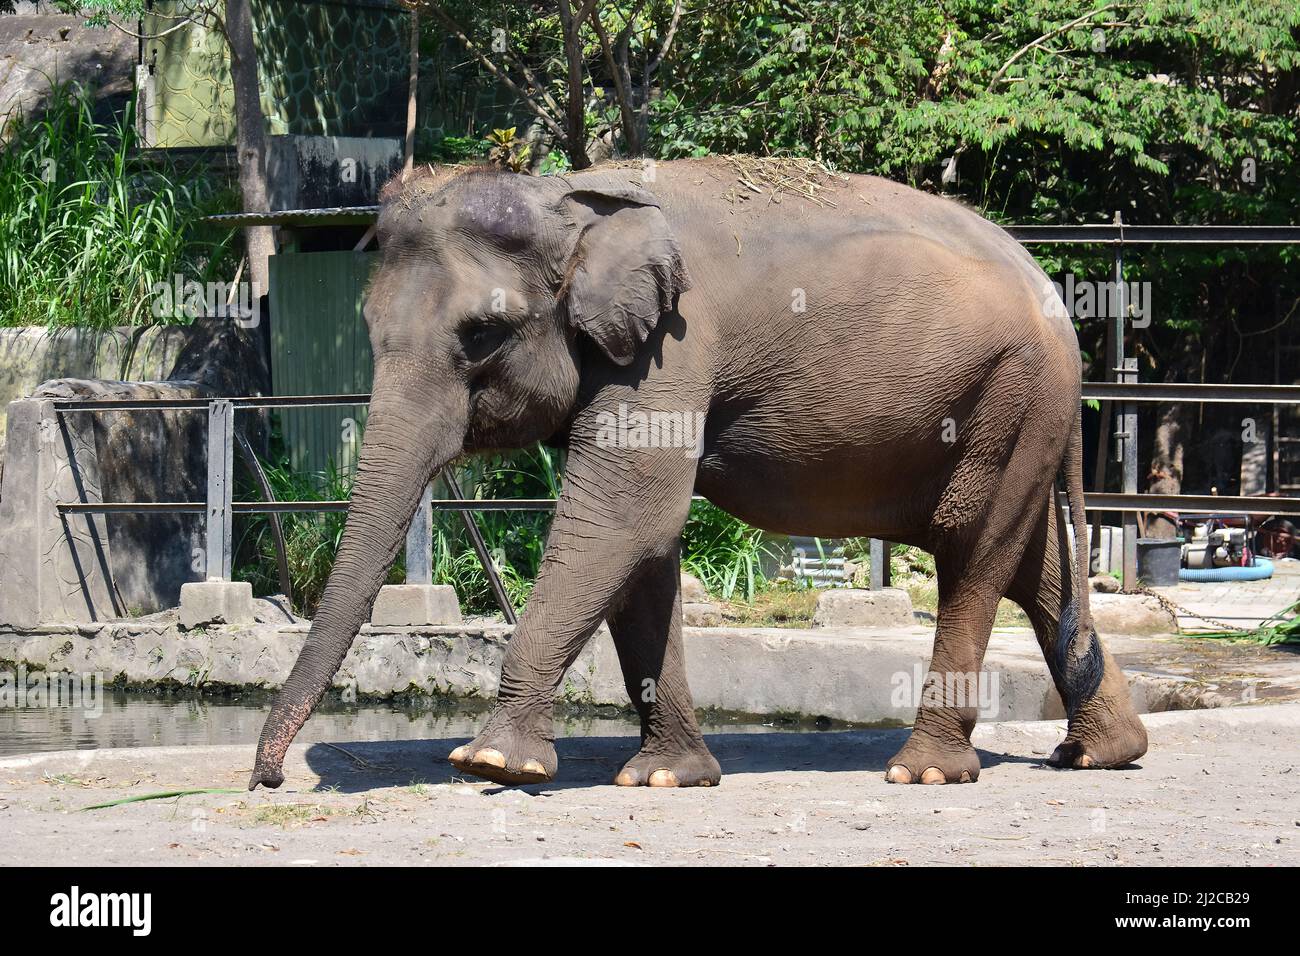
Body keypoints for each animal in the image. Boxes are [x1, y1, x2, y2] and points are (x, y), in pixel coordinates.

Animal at [248, 156, 1148, 791]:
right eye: (368, 327)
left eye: (481, 334)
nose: (269, 776)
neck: (570, 198)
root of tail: (1057, 296)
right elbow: (643, 547)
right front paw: (665, 778)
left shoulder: (672, 344)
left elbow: (623, 519)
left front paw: (492, 764)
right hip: (1019, 409)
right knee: (1032, 561)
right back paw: (1102, 753)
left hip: (1013, 393)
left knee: (972, 549)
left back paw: (923, 770)